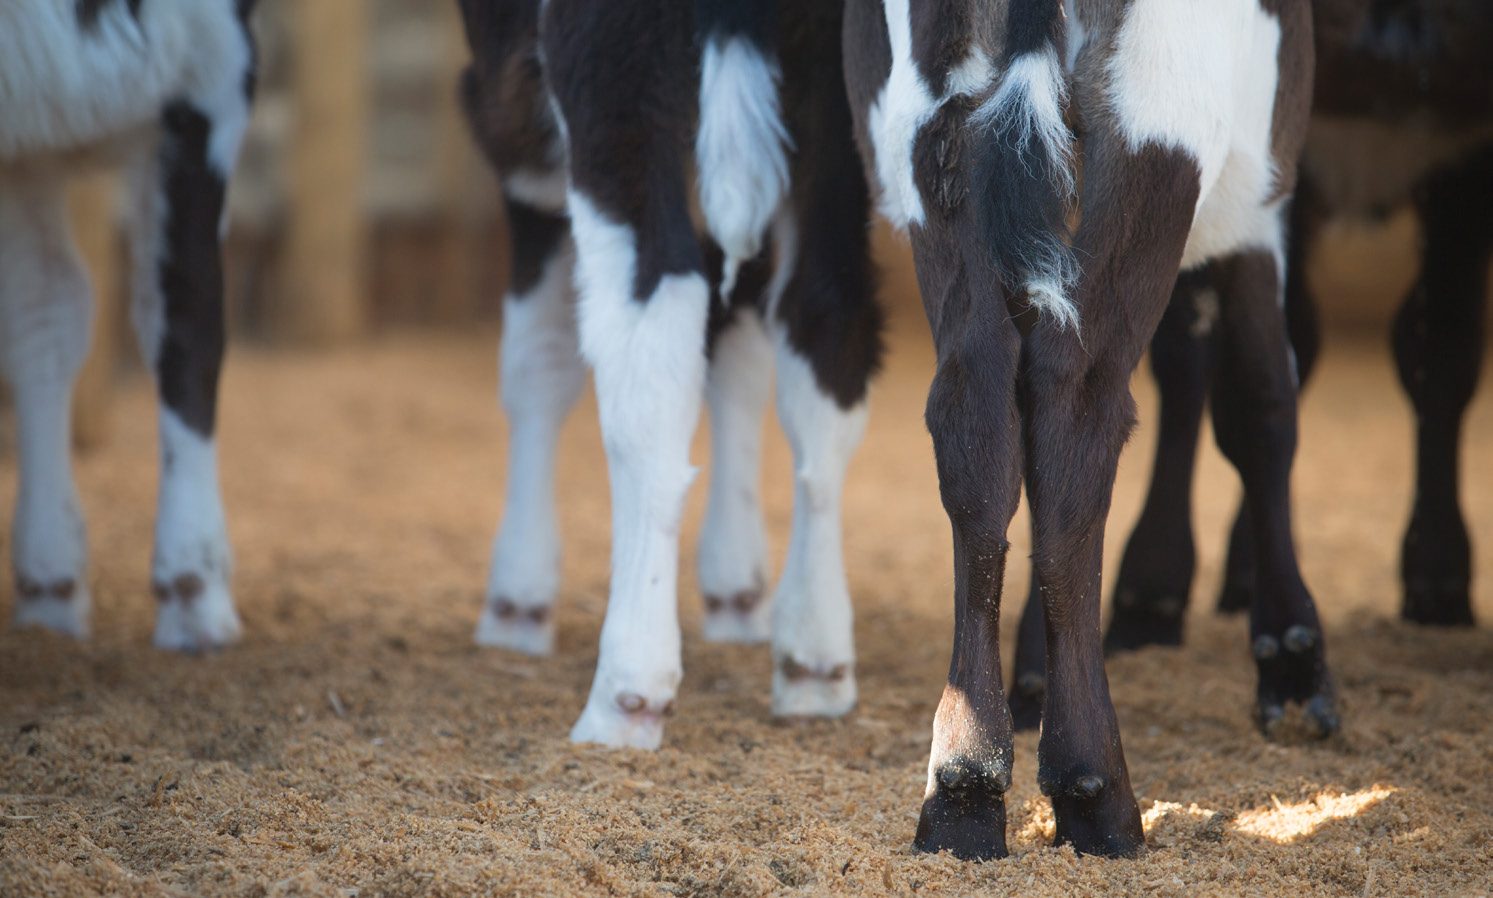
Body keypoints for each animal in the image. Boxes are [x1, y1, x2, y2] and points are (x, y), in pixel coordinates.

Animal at [458, 0, 883, 749]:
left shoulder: (516, 126)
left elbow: (538, 359)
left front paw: (518, 599)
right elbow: (739, 348)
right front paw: (737, 586)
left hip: (613, 72)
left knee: (654, 311)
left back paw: (628, 691)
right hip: (838, 108)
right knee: (827, 319)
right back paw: (814, 654)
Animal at [843, 0, 1320, 860]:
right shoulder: (1254, 208)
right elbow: (1260, 403)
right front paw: (1292, 657)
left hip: (933, 174)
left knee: (978, 413)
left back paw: (963, 787)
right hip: (1156, 146)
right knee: (1078, 409)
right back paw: (1093, 789)